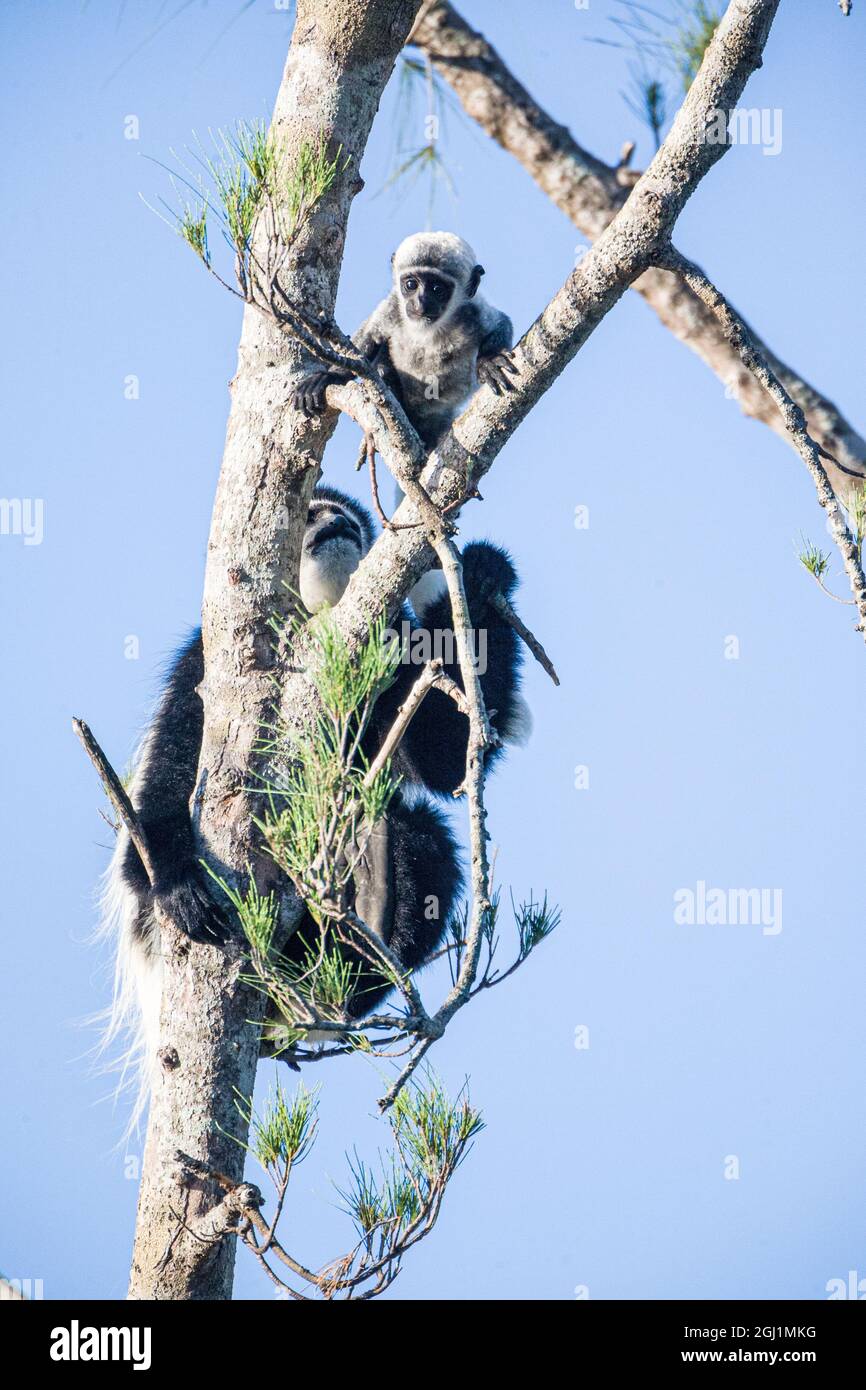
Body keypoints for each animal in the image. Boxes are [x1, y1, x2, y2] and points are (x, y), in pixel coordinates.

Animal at [99, 485, 530, 1126]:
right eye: (307, 510)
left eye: (345, 514)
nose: (332, 518)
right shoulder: (203, 665)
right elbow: (172, 776)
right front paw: (180, 886)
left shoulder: (397, 653)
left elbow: (448, 758)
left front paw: (481, 574)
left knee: (418, 835)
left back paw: (343, 980)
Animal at [291, 232, 519, 448]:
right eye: (411, 284)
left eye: (437, 289)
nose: (420, 302)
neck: (428, 330)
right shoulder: (394, 305)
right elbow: (369, 339)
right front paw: (329, 377)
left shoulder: (471, 311)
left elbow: (501, 323)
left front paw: (489, 360)